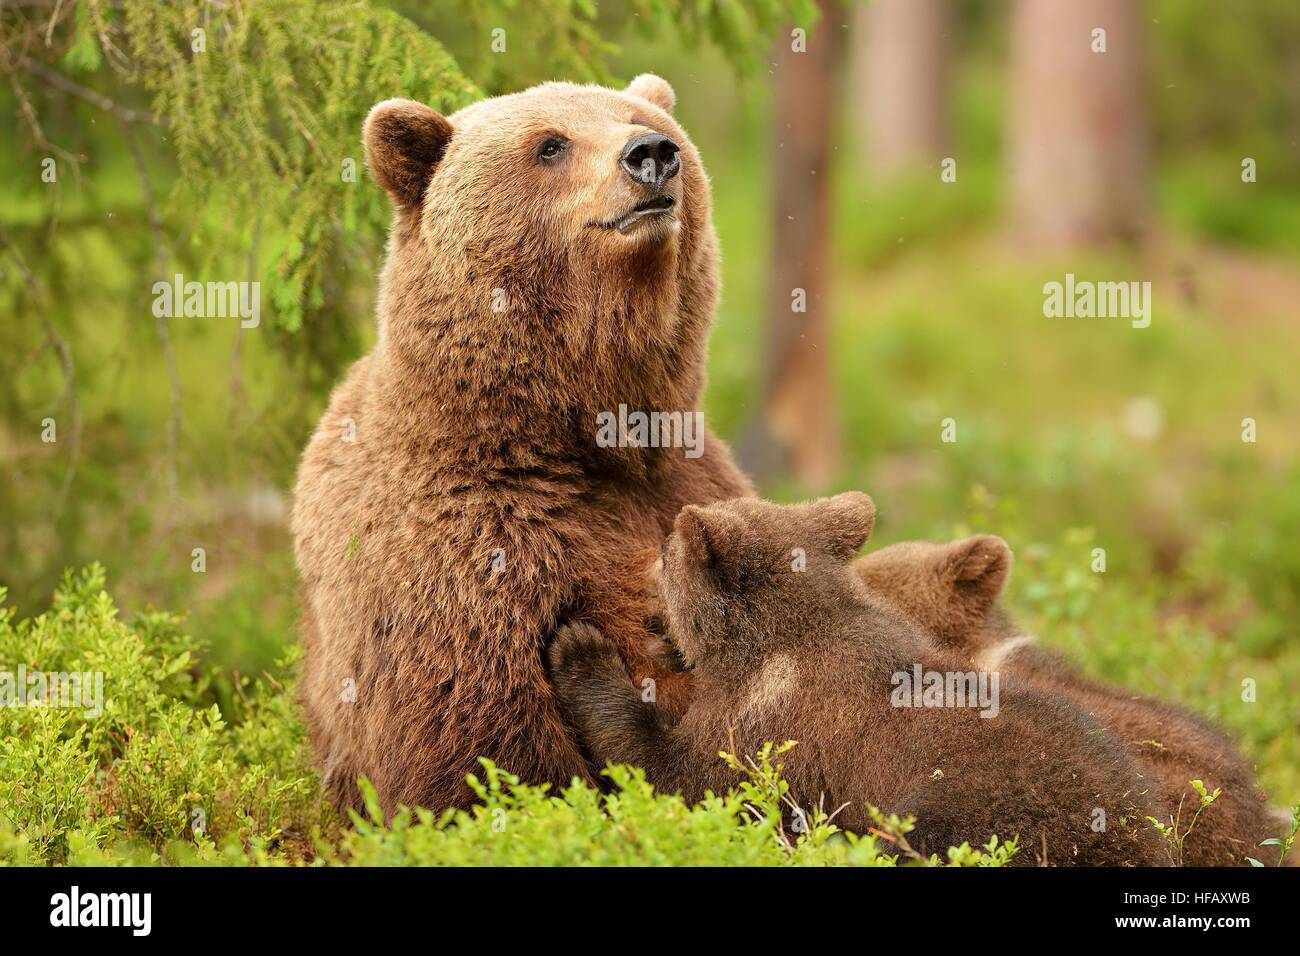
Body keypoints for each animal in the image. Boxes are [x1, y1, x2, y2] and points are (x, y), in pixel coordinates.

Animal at [291, 74, 755, 814]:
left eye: (642, 119)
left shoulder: (692, 482)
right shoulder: (468, 548)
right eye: (550, 145)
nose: (651, 155)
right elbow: (483, 745)